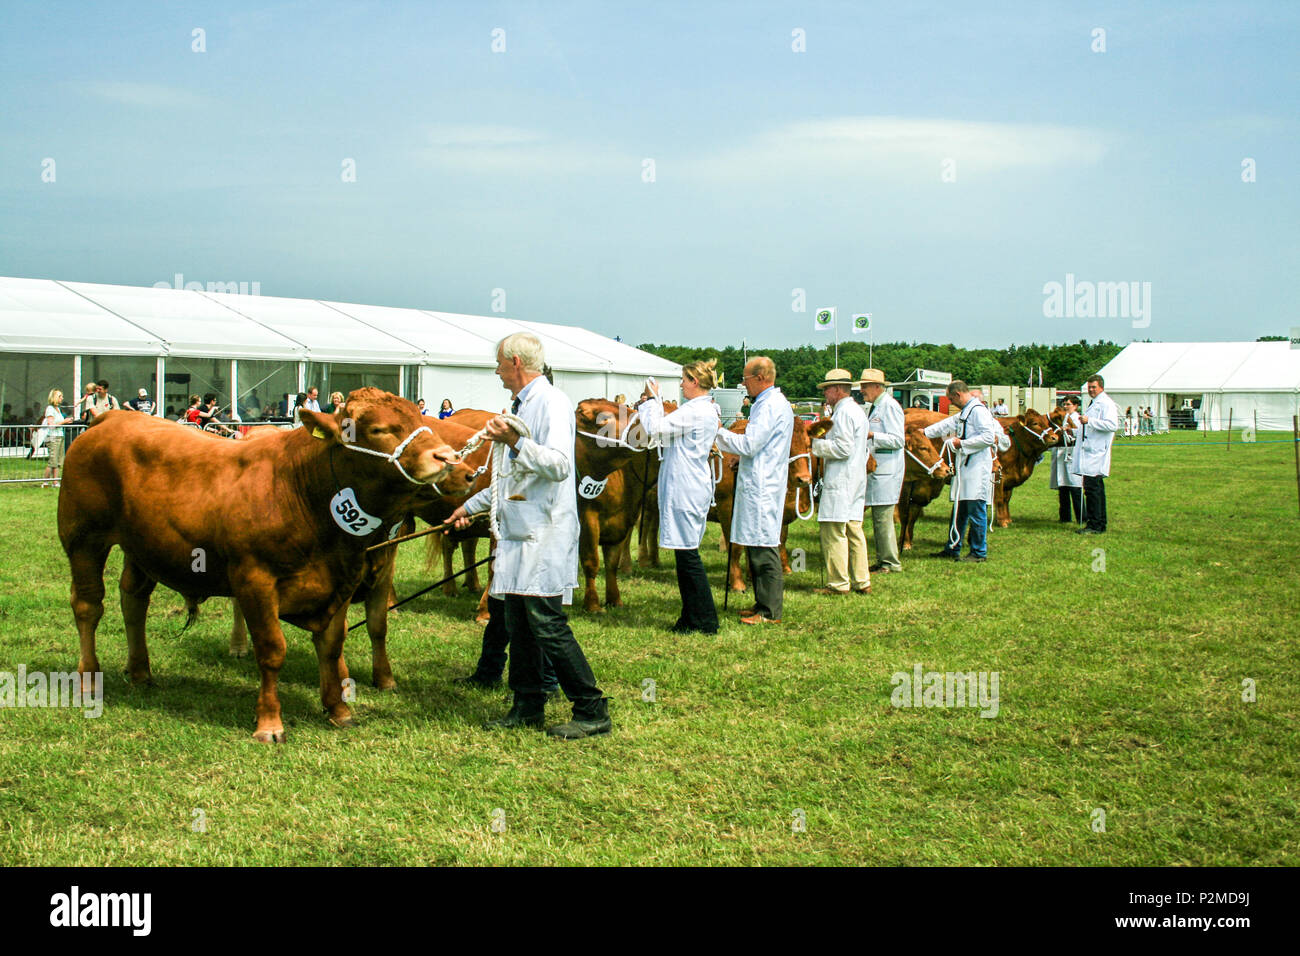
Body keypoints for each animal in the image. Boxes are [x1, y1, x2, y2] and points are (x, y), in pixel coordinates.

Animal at [57, 389, 476, 742]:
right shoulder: (254, 580)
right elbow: (272, 650)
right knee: (88, 605)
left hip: (141, 547)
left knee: (134, 599)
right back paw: (88, 680)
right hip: (83, 539)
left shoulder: (340, 582)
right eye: (378, 429)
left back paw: (141, 671)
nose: (451, 460)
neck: (302, 491)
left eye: (417, 417)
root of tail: (110, 419)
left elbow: (332, 645)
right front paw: (270, 723)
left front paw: (338, 710)